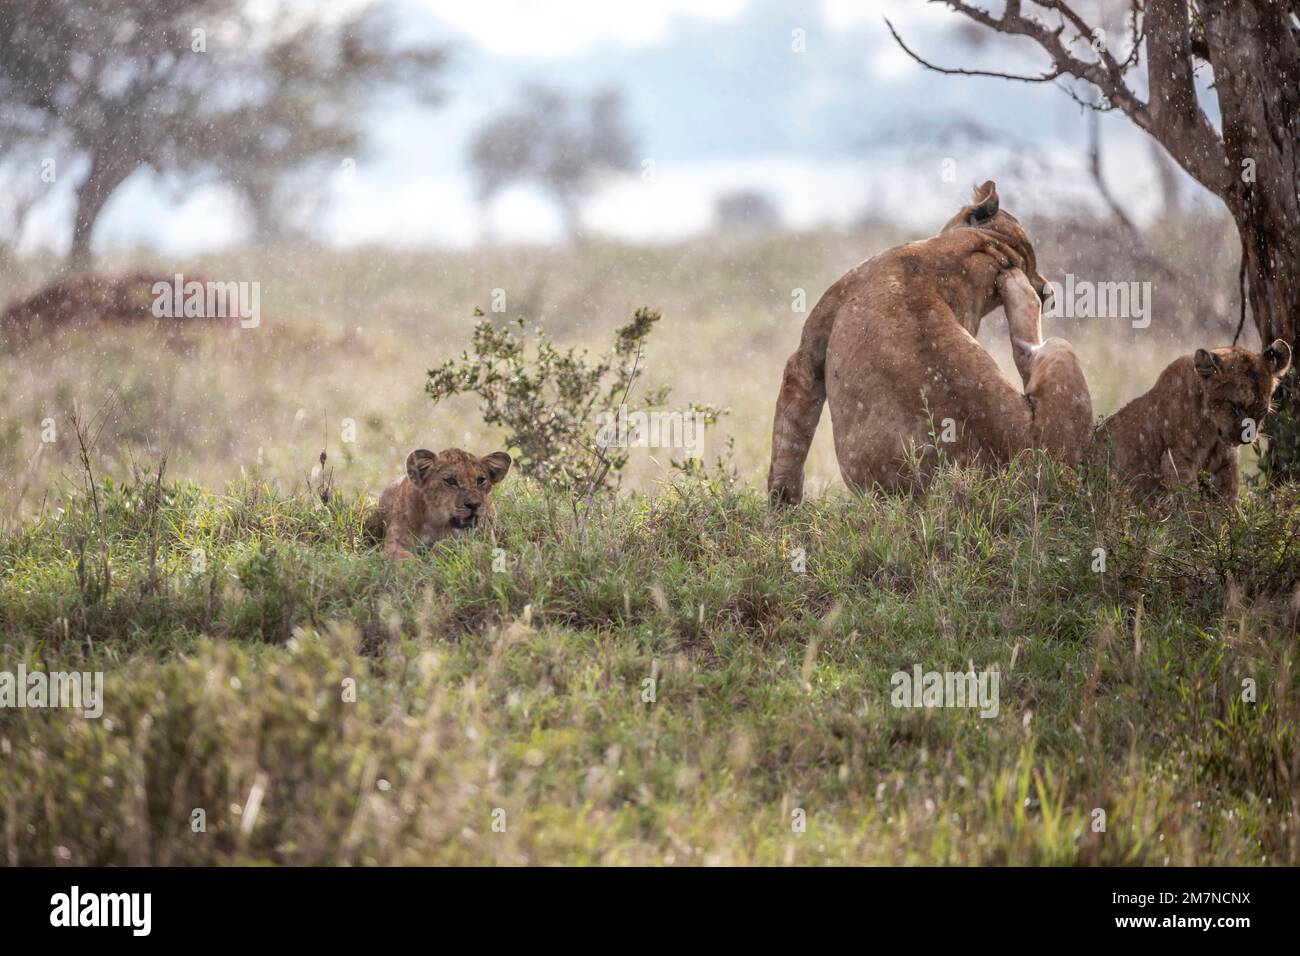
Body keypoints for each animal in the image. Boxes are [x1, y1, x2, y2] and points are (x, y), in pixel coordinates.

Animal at [365, 447, 512, 560]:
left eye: (481, 480)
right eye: (451, 481)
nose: (474, 504)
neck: (436, 522)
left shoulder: (485, 542)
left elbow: (450, 544)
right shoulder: (394, 543)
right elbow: (403, 558)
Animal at [768, 181, 1075, 503]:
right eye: (1032, 261)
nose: (1048, 293)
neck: (986, 250)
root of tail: (1006, 475)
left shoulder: (806, 358)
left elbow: (789, 443)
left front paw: (782, 506)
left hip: (1060, 351)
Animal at [1090, 341, 1292, 501]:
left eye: (1262, 411)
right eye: (1235, 405)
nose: (1246, 439)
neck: (1212, 431)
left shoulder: (1226, 464)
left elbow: (1229, 502)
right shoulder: (1177, 459)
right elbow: (1189, 505)